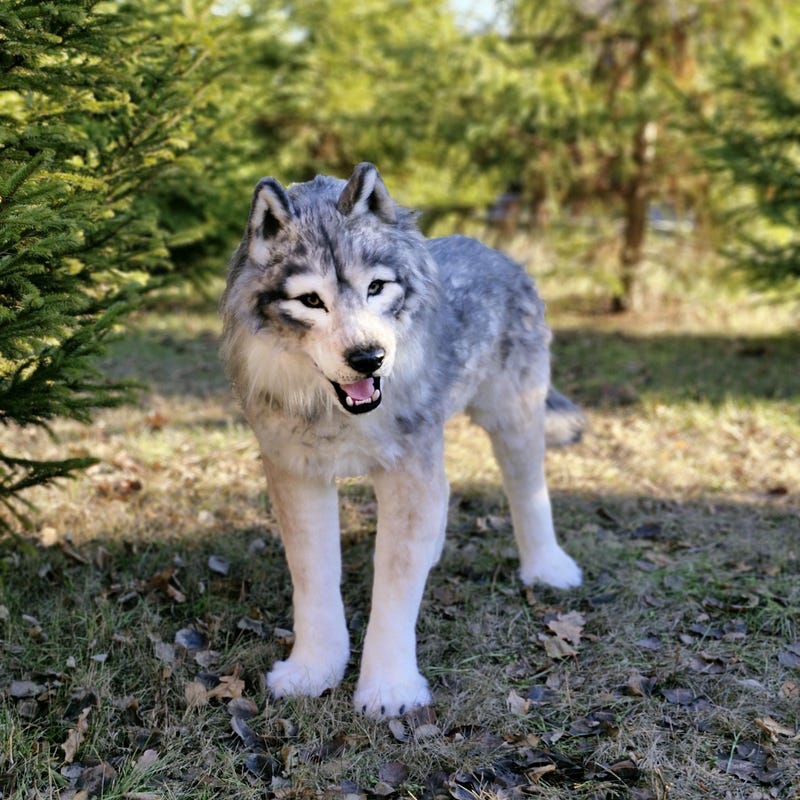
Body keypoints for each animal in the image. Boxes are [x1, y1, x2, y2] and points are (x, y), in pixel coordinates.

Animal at [221, 163, 584, 718]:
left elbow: (393, 591)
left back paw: (548, 567)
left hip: (514, 418)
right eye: (311, 300)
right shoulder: (297, 475)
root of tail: (496, 252)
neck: (339, 411)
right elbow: (313, 578)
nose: (368, 358)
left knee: (528, 490)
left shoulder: (407, 471)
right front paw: (312, 671)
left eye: (376, 287)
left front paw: (389, 690)